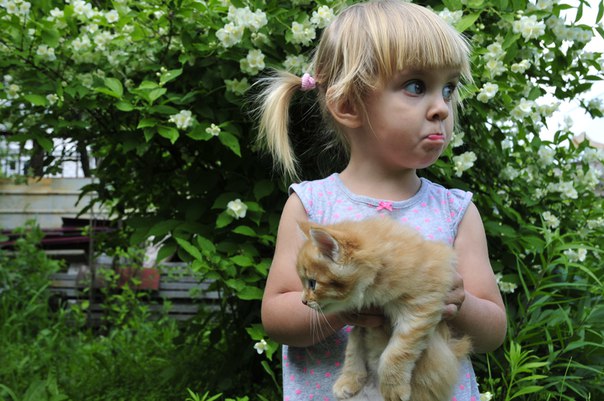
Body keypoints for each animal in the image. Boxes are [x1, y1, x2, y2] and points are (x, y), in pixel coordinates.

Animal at [296, 217, 472, 401]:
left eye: (312, 284)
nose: (303, 301)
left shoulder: (421, 307)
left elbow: (396, 352)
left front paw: (393, 388)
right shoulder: (362, 323)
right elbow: (352, 348)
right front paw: (348, 381)